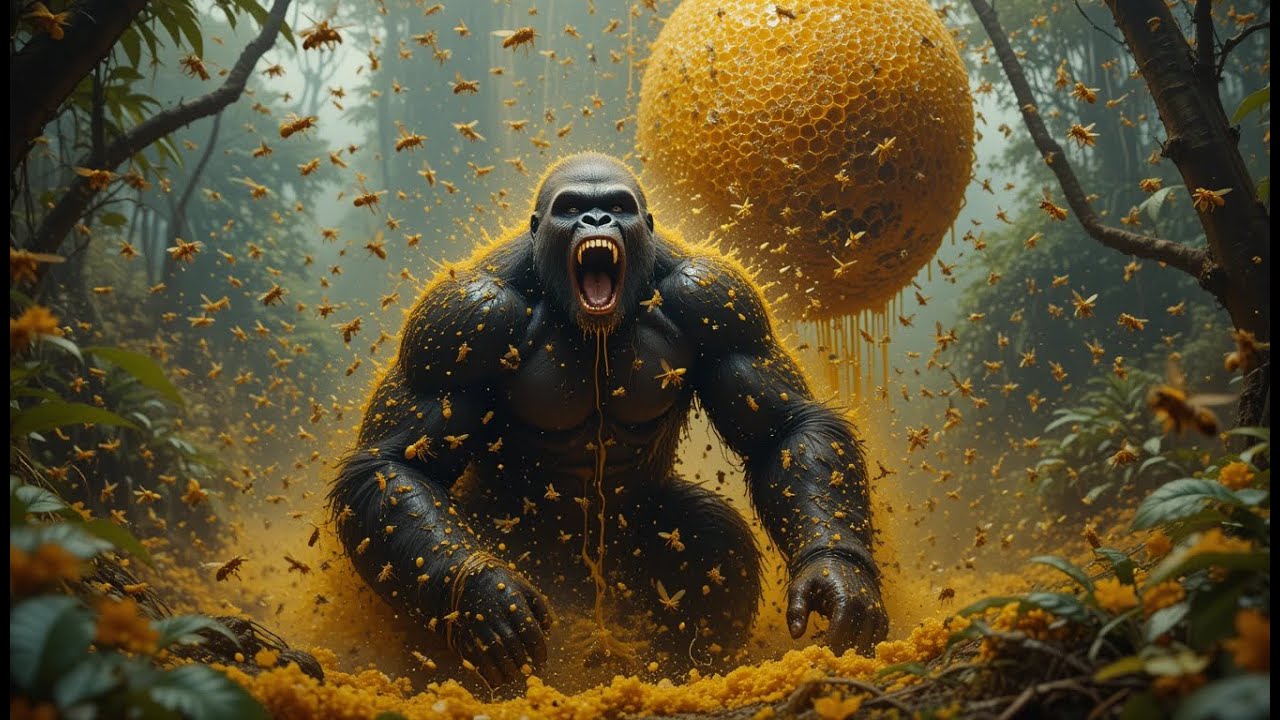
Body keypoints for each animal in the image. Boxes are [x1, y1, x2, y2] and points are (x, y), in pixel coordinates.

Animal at [330, 152, 888, 688]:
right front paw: (482, 595)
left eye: (617, 206)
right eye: (571, 207)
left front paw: (837, 574)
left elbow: (784, 429)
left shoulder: (719, 299)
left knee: (714, 536)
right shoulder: (458, 319)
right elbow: (395, 462)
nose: (596, 219)